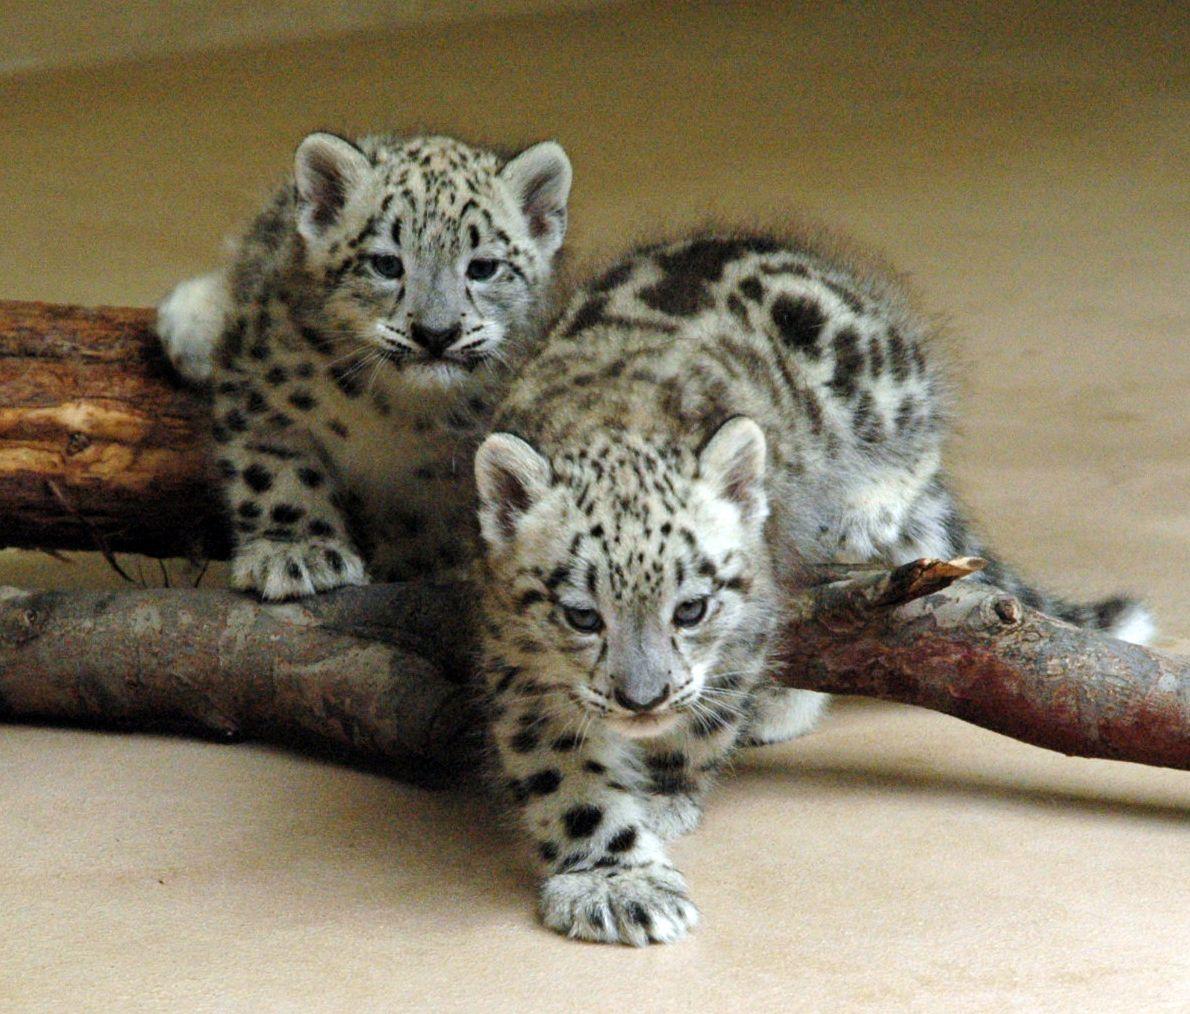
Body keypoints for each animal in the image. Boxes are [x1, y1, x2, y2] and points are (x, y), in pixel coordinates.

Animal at [156, 131, 571, 598]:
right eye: (386, 264)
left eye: (483, 267)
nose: (436, 333)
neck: (393, 411)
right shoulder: (259, 390)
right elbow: (274, 471)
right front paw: (296, 552)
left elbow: (441, 516)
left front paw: (423, 563)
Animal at [472, 229, 1156, 946]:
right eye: (582, 616)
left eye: (691, 609)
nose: (643, 698)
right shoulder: (518, 663)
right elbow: (564, 778)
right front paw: (614, 882)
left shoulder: (743, 634)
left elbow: (703, 722)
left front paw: (662, 796)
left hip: (866, 362)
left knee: (921, 430)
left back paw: (866, 506)